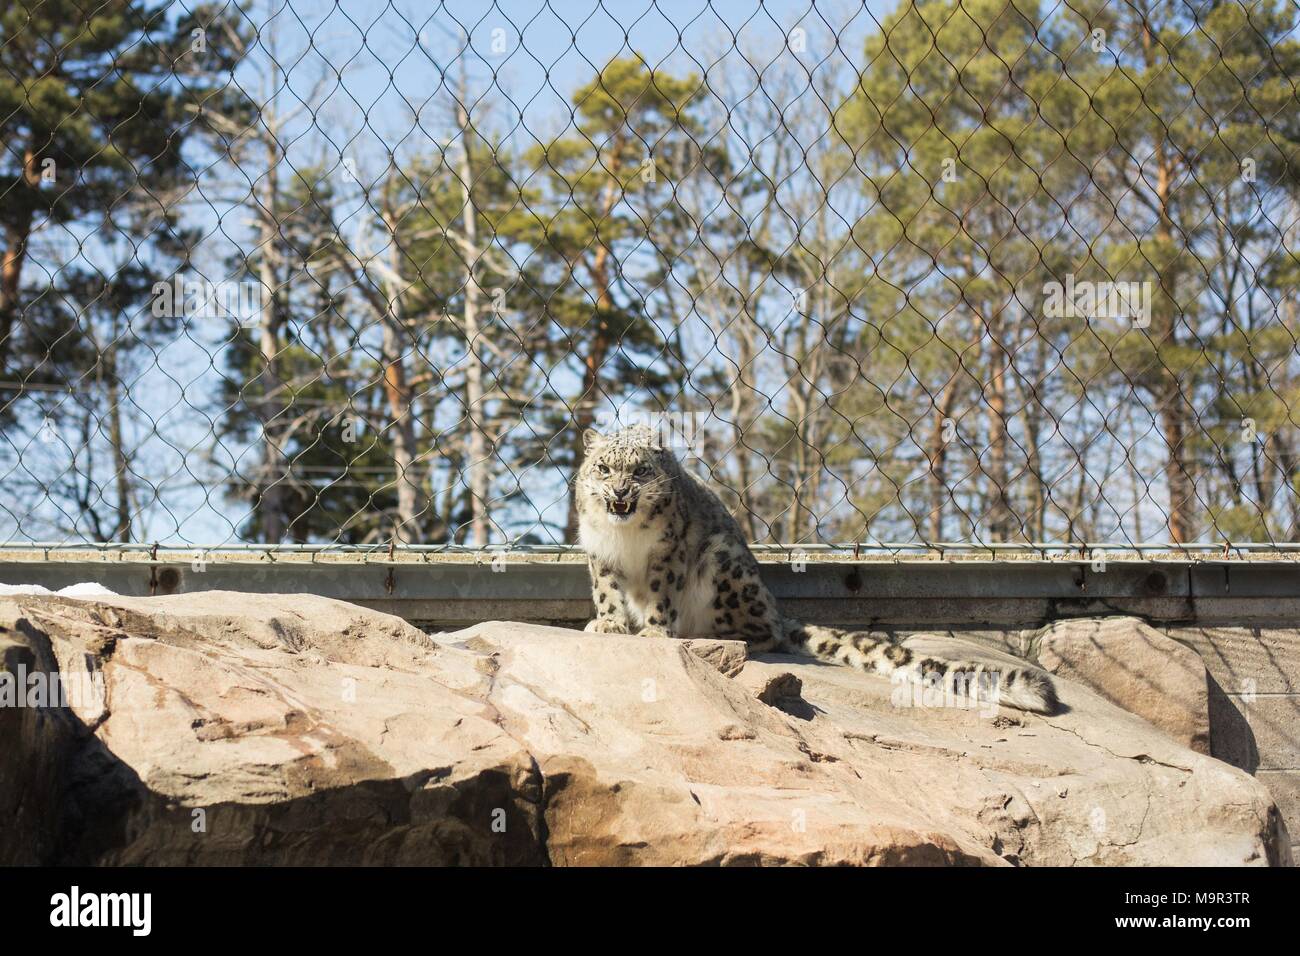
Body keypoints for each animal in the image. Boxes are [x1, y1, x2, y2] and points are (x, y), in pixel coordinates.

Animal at [575, 425, 1057, 714]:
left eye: (640, 470)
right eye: (603, 467)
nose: (620, 492)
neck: (626, 536)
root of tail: (775, 609)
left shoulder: (669, 552)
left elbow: (661, 592)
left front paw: (654, 631)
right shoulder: (600, 553)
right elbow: (608, 591)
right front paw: (609, 624)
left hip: (723, 559)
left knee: (766, 631)